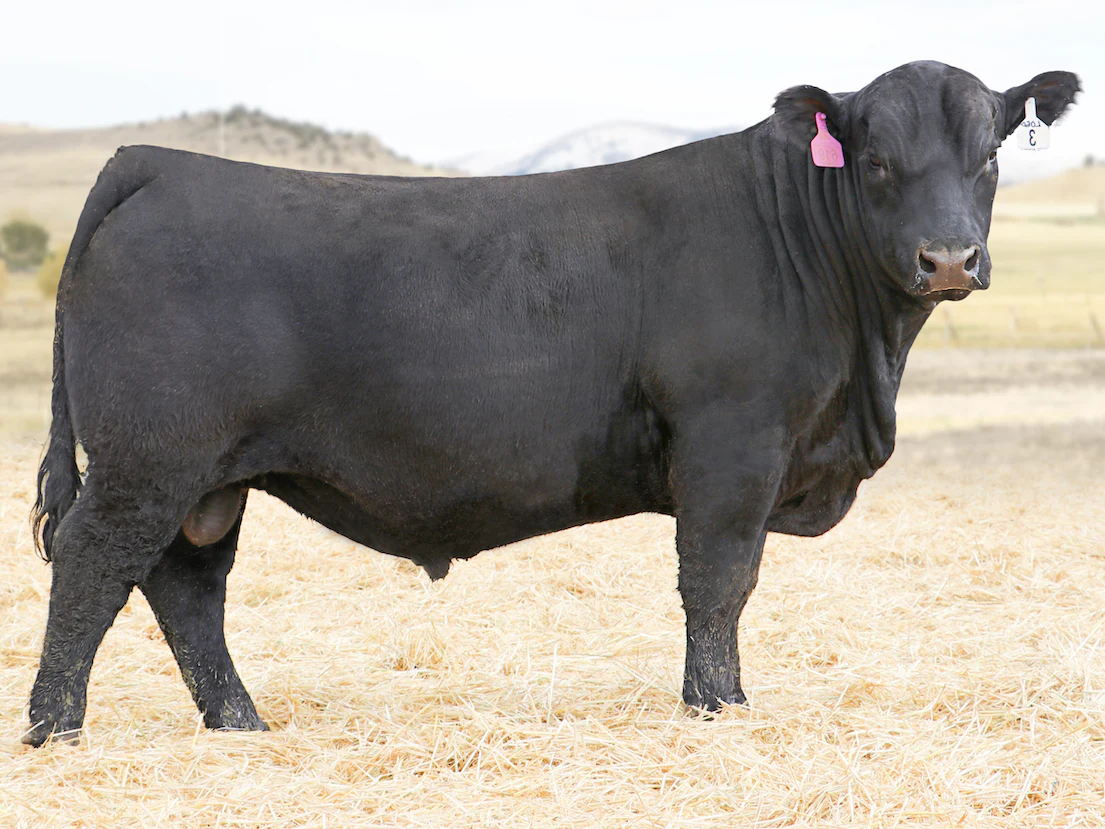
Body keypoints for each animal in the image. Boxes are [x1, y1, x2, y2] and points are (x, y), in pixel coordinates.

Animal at [24, 62, 1079, 745]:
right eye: (874, 161)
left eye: (989, 156)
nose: (948, 259)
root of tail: (161, 161)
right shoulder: (732, 445)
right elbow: (719, 580)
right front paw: (717, 708)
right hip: (149, 459)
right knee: (92, 564)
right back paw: (55, 728)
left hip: (209, 476)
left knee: (185, 584)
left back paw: (241, 723)